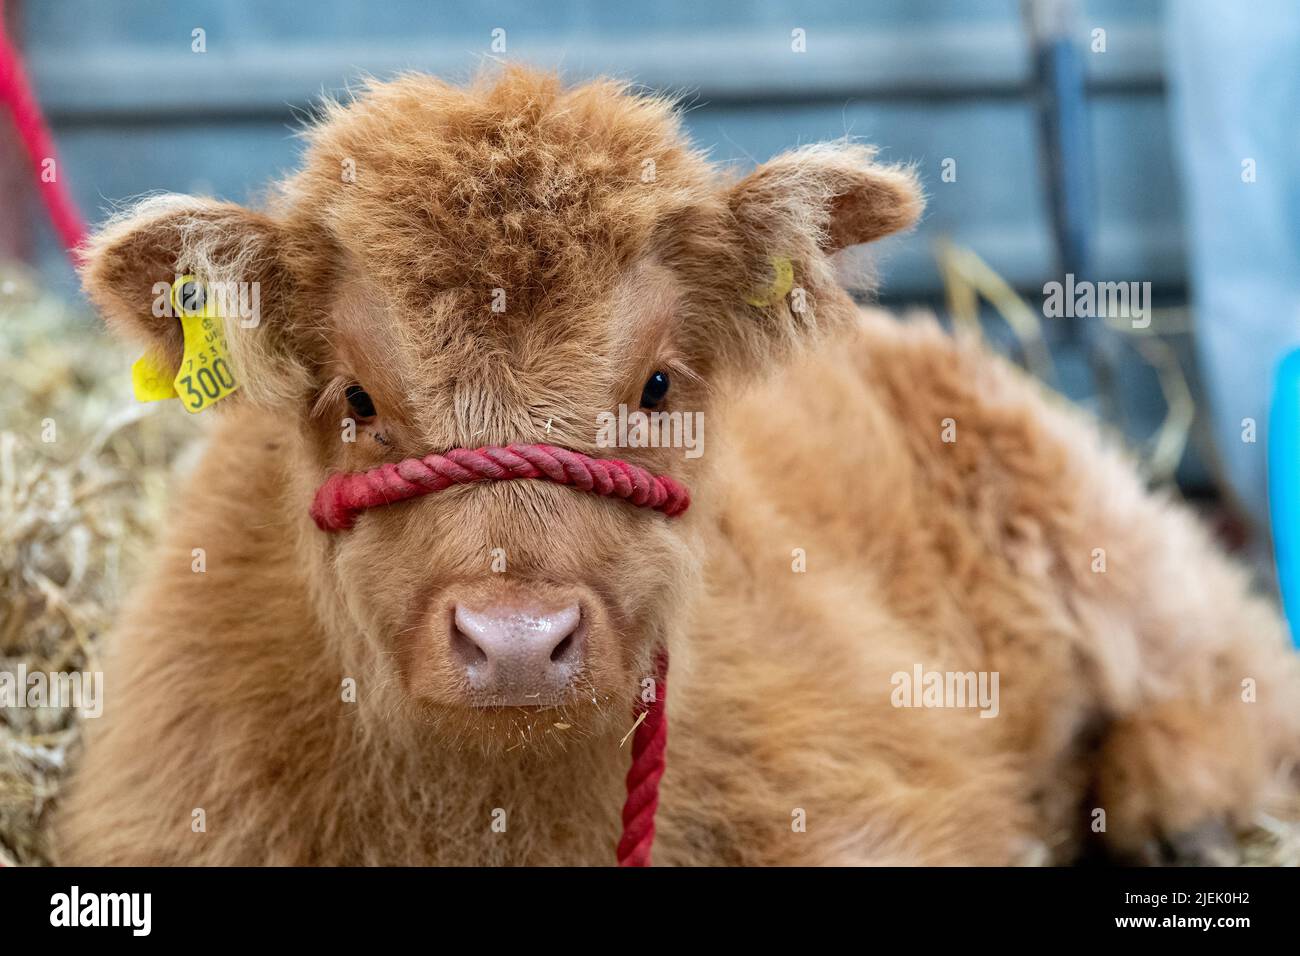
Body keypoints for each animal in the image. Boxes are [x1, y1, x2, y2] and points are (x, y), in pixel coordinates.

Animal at [54, 66, 1299, 865]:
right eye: (358, 400)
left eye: (658, 384)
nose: (517, 639)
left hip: (1088, 521)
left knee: (1234, 658)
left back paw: (1174, 797)